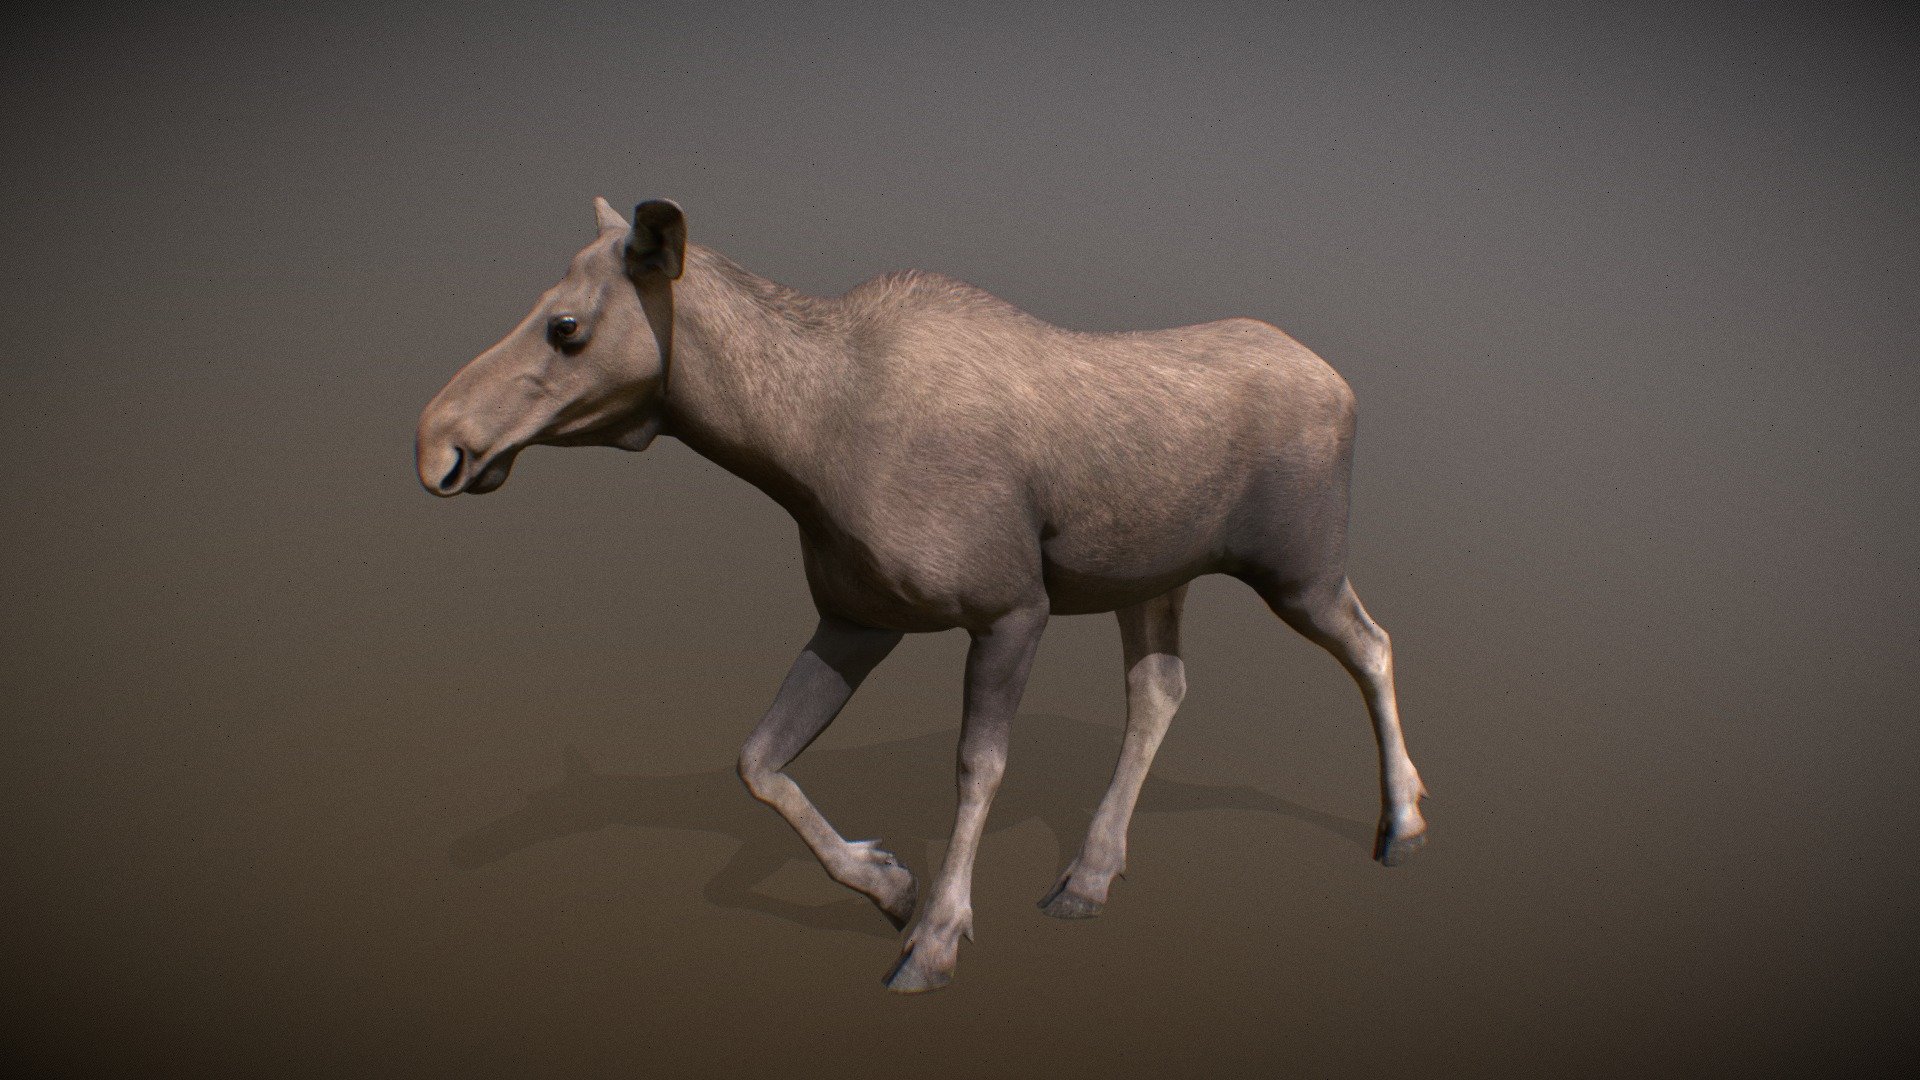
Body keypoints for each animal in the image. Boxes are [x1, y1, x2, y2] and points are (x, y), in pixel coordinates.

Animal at [415, 197, 1427, 993]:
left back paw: (1405, 819)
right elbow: (758, 759)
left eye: (565, 326)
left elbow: (976, 766)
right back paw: (1088, 876)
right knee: (1161, 689)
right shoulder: (856, 617)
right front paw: (889, 883)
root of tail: (1344, 384)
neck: (796, 447)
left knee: (1374, 643)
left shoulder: (1011, 609)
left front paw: (935, 936)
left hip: (1299, 570)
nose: (438, 443)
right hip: (1151, 579)